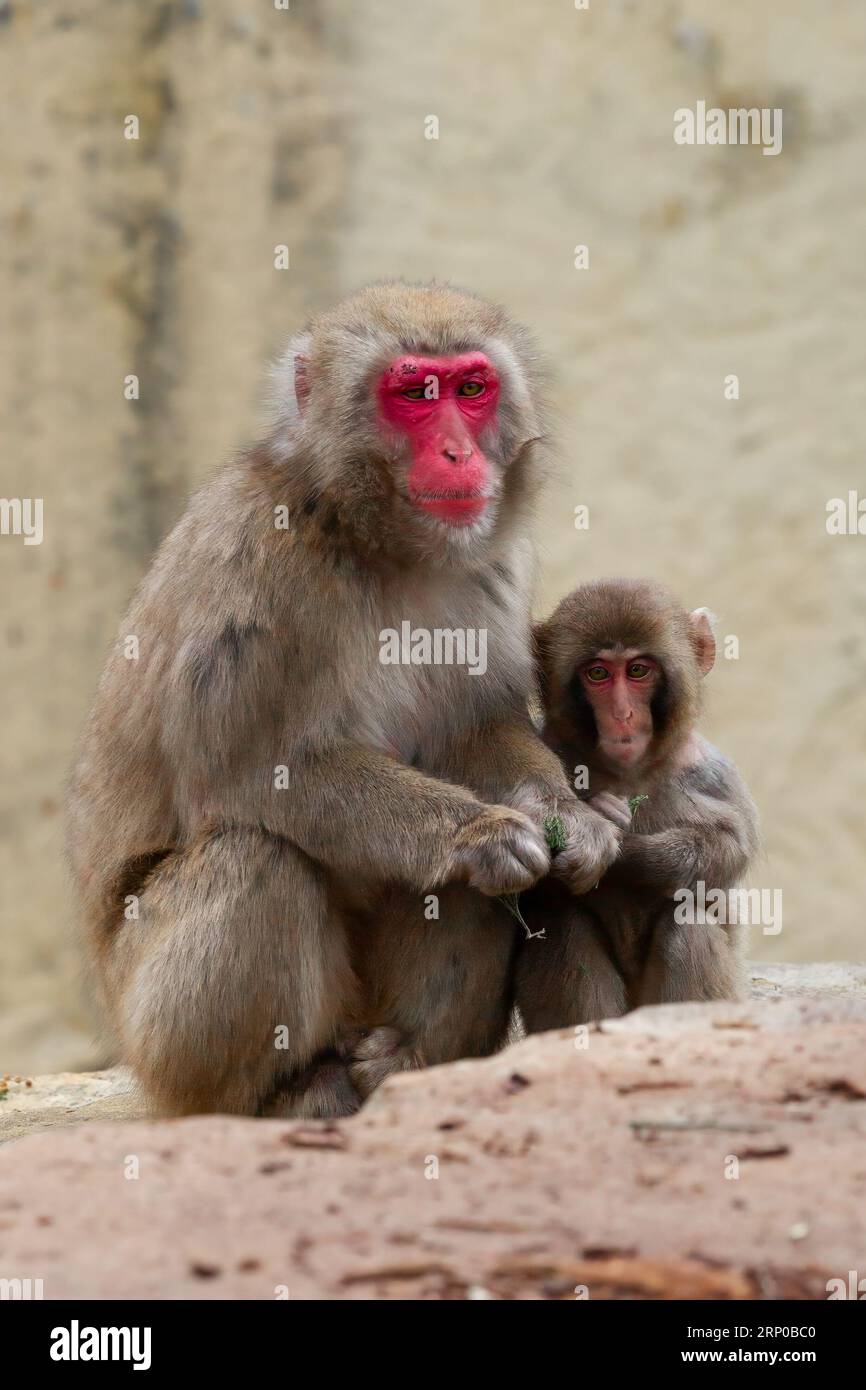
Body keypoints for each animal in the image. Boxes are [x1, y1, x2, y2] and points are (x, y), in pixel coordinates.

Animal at [66, 283, 621, 1119]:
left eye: (470, 388)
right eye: (414, 395)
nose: (457, 453)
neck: (380, 541)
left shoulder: (497, 563)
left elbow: (476, 735)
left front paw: (566, 816)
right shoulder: (253, 558)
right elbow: (256, 773)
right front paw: (475, 834)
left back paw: (406, 1061)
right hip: (153, 1027)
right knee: (258, 857)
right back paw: (281, 1093)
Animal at [514, 578, 760, 1031]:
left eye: (638, 671)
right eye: (598, 673)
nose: (623, 714)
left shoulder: (713, 775)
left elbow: (726, 849)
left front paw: (623, 844)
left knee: (688, 920)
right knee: (561, 921)